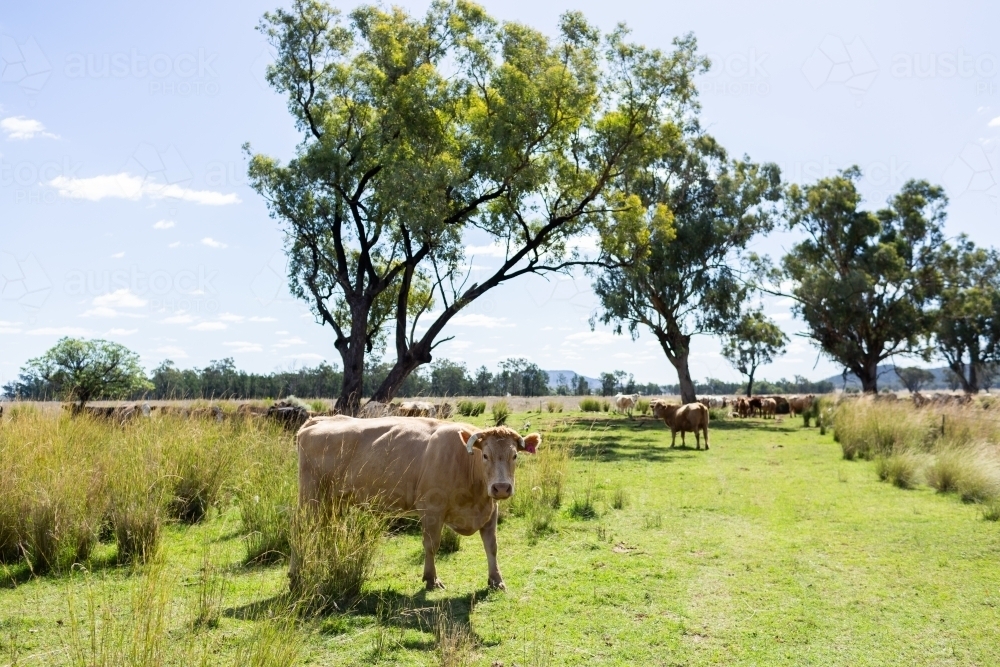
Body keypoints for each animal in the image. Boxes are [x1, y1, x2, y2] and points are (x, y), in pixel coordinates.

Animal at [294, 415, 540, 591]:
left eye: (514, 456)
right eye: (485, 455)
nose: (501, 487)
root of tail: (317, 421)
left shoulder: (490, 510)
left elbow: (492, 546)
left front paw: (496, 580)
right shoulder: (431, 509)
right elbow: (431, 545)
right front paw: (431, 579)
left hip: (332, 501)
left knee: (327, 531)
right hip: (310, 496)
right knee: (302, 531)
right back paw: (296, 575)